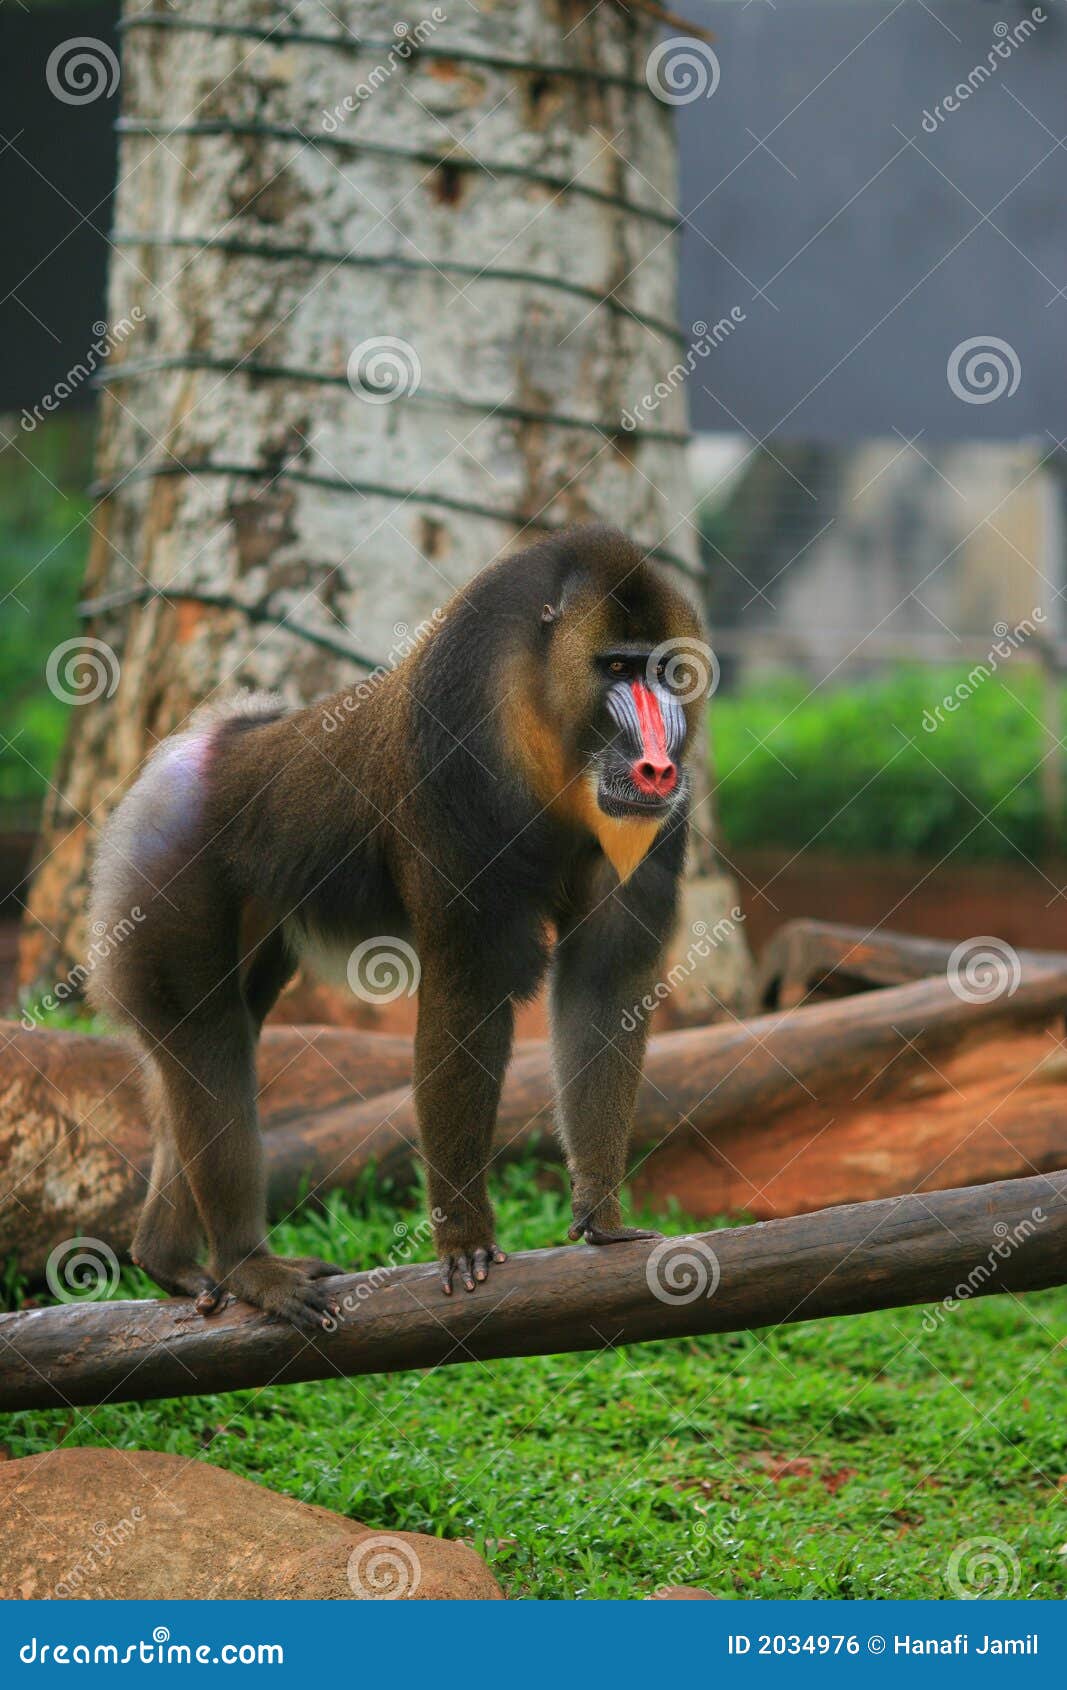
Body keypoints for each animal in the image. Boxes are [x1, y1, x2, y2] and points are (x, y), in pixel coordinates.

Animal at [87, 526, 708, 1331]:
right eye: (617, 669)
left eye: (664, 672)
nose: (658, 765)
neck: (548, 729)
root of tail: (204, 748)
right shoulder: (456, 776)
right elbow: (466, 999)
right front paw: (465, 1240)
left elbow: (605, 987)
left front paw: (601, 1215)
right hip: (165, 876)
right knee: (206, 1040)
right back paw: (249, 1266)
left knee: (215, 1040)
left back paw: (168, 1258)